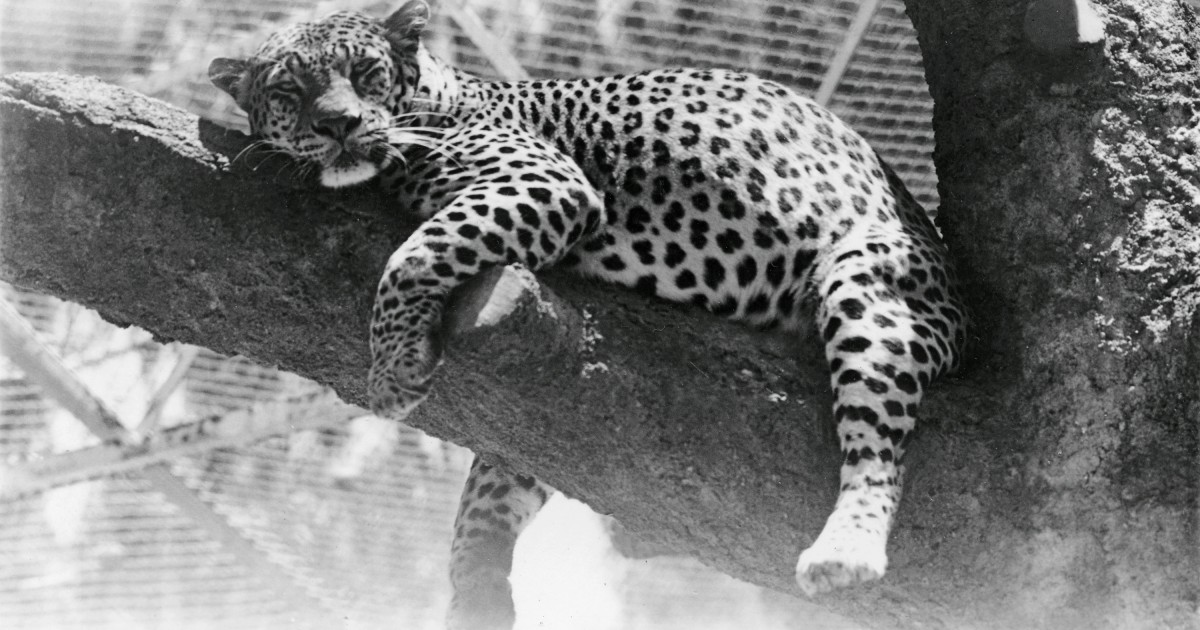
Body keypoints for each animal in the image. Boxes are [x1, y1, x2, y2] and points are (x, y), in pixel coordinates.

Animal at [208, 2, 968, 628]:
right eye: (289, 92)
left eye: (365, 73)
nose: (338, 125)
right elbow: (482, 503)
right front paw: (473, 595)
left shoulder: (543, 180)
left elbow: (417, 251)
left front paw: (392, 370)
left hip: (871, 278)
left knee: (876, 442)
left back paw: (847, 549)